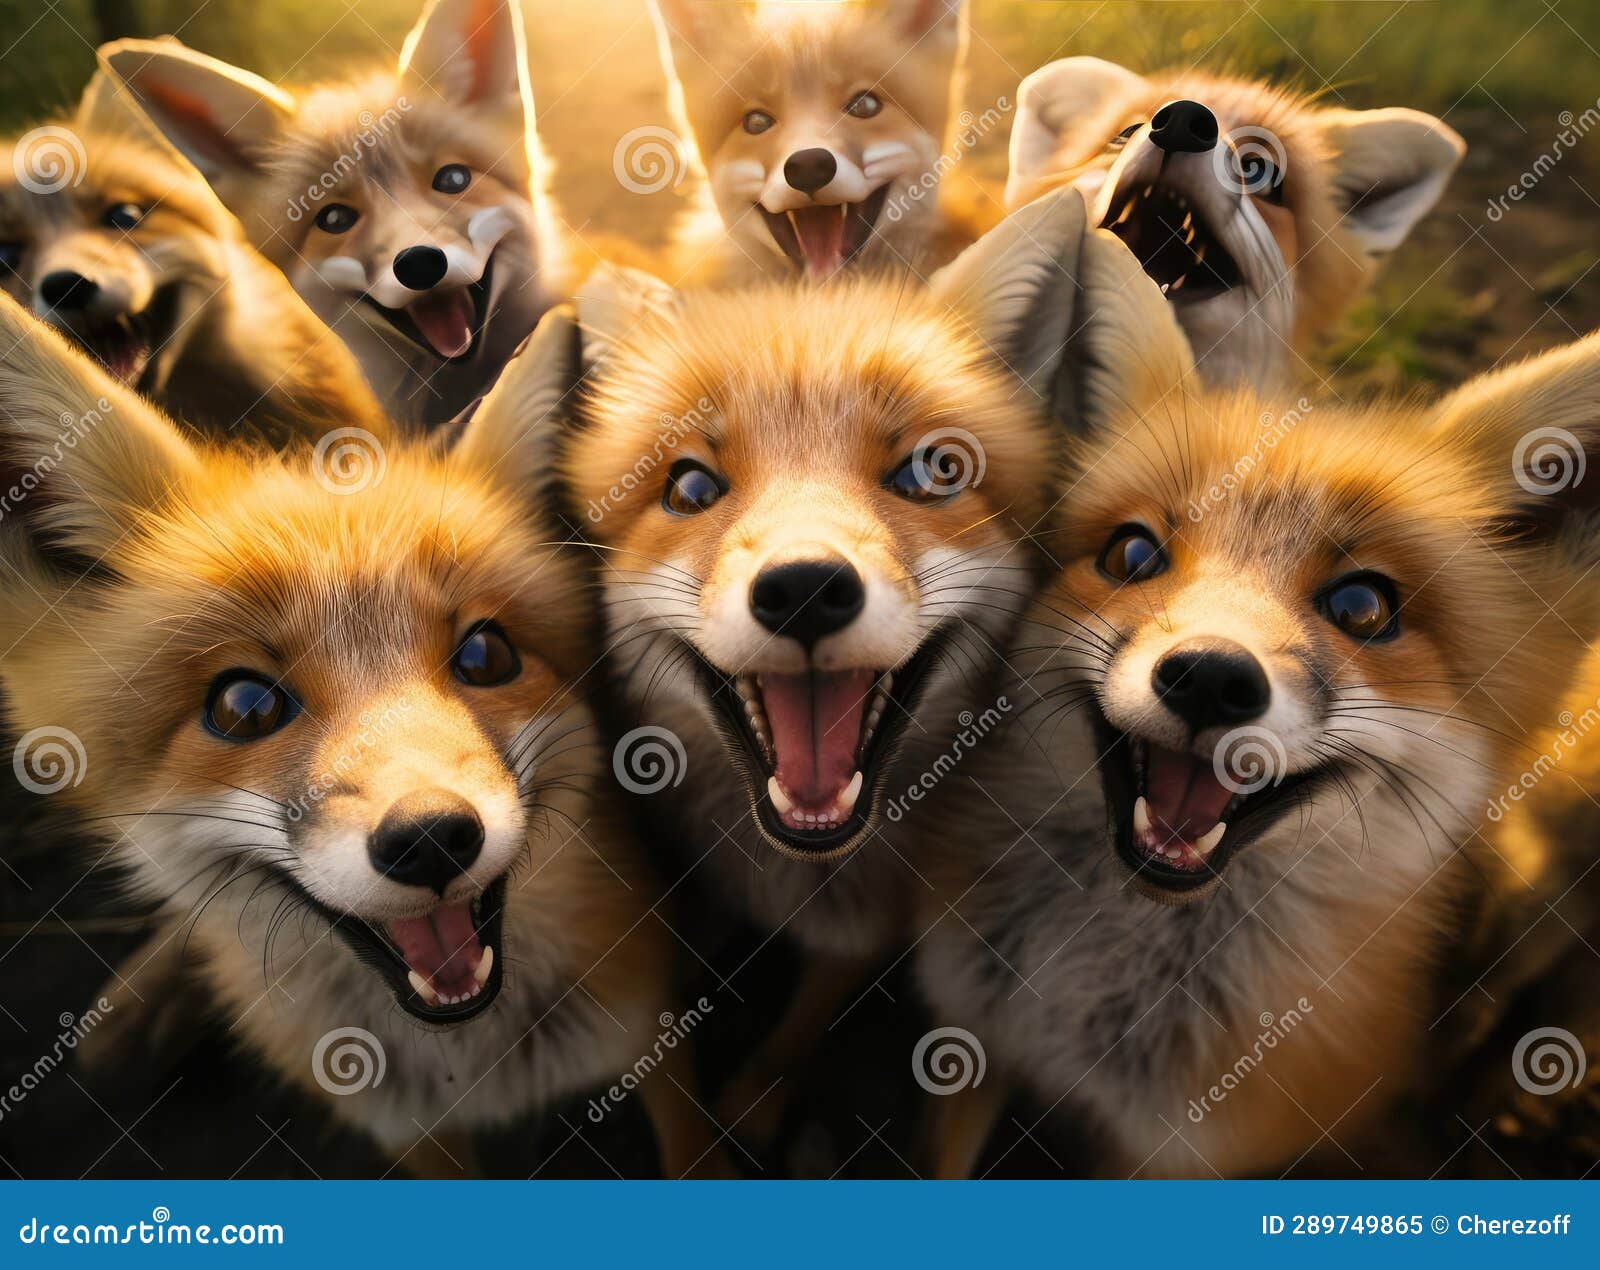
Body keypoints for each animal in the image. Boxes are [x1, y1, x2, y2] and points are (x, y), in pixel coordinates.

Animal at [0, 292, 728, 1179]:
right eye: (244, 706)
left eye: (486, 655)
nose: (431, 838)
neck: (471, 1061)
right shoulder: (414, 1134)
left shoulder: (652, 1032)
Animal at [560, 189, 1137, 1146]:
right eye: (690, 488)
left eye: (934, 471)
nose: (803, 590)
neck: (807, 876)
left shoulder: (876, 926)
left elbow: (813, 1007)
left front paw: (760, 1094)